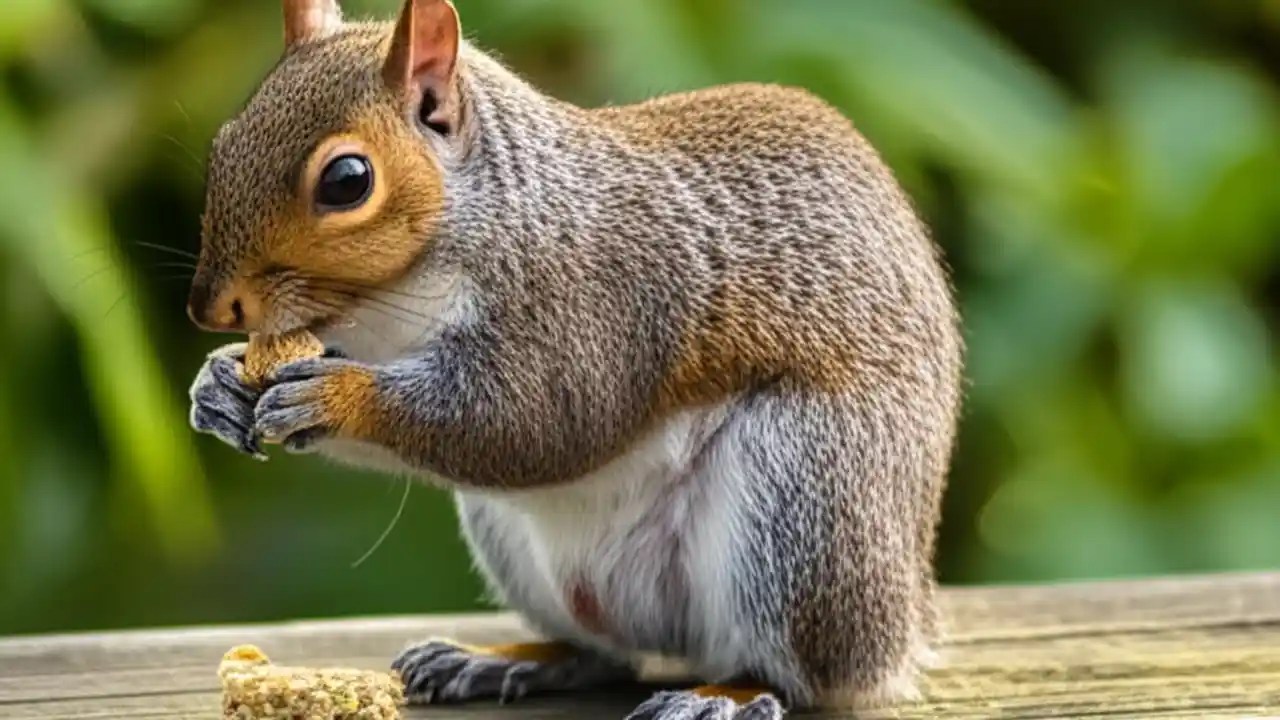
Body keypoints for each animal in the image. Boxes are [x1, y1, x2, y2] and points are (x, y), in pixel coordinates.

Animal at [186, 0, 964, 718]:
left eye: (348, 180)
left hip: (804, 499)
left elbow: (535, 424)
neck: (395, 302)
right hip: (519, 545)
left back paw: (727, 693)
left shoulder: (596, 302)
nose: (207, 311)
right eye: (222, 144)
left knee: (799, 675)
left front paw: (335, 398)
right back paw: (506, 658)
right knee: (600, 652)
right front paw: (218, 383)